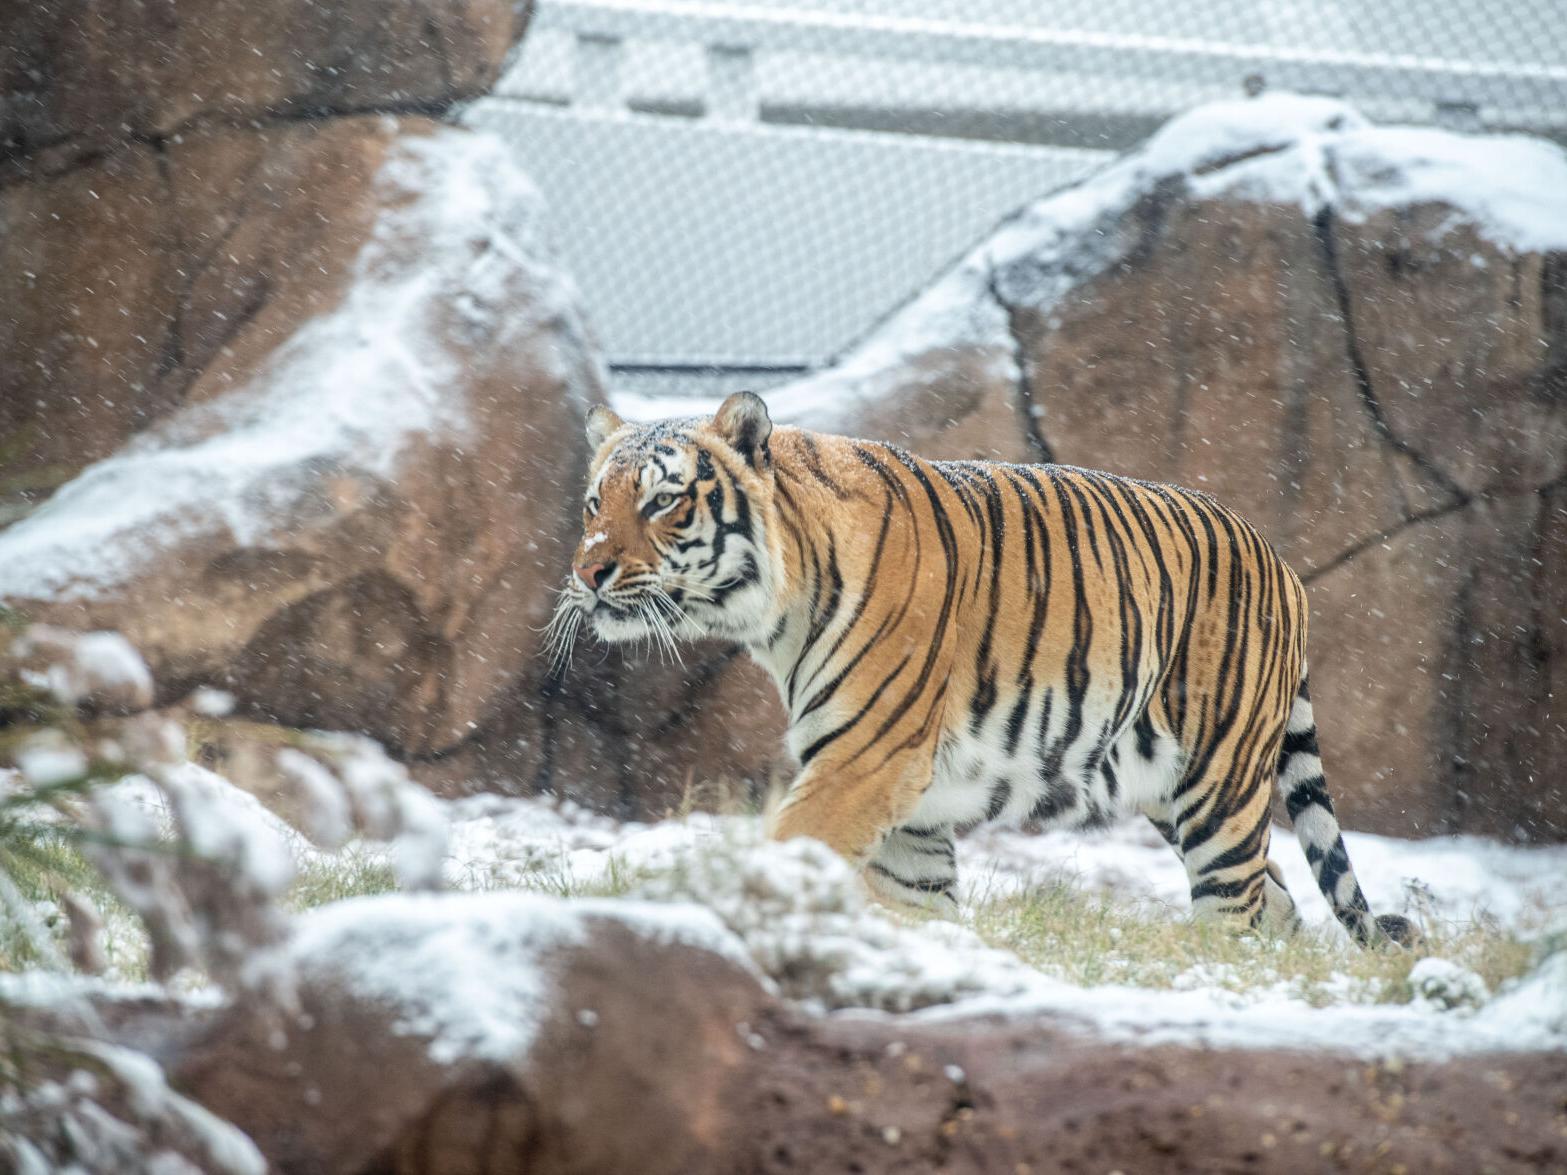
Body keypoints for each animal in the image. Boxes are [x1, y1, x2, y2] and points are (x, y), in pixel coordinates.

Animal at [547, 391, 1416, 948]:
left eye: (661, 502)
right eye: (594, 503)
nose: (588, 571)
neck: (773, 613)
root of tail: (1282, 563)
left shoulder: (862, 760)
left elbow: (785, 849)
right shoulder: (908, 812)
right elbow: (914, 905)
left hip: (1219, 783)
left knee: (1236, 906)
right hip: (1166, 788)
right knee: (1278, 903)